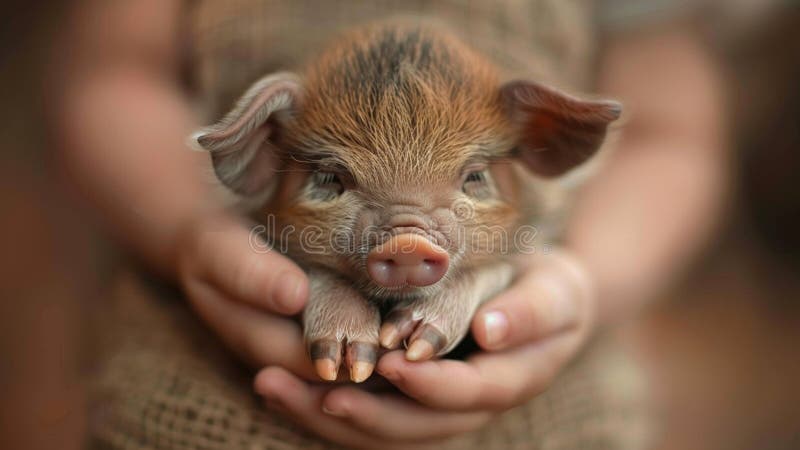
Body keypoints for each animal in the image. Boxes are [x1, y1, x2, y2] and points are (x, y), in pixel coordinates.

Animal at [190, 22, 621, 383]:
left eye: (475, 177)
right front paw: (348, 363)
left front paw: (410, 340)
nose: (408, 241)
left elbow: (497, 267)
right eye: (330, 179)